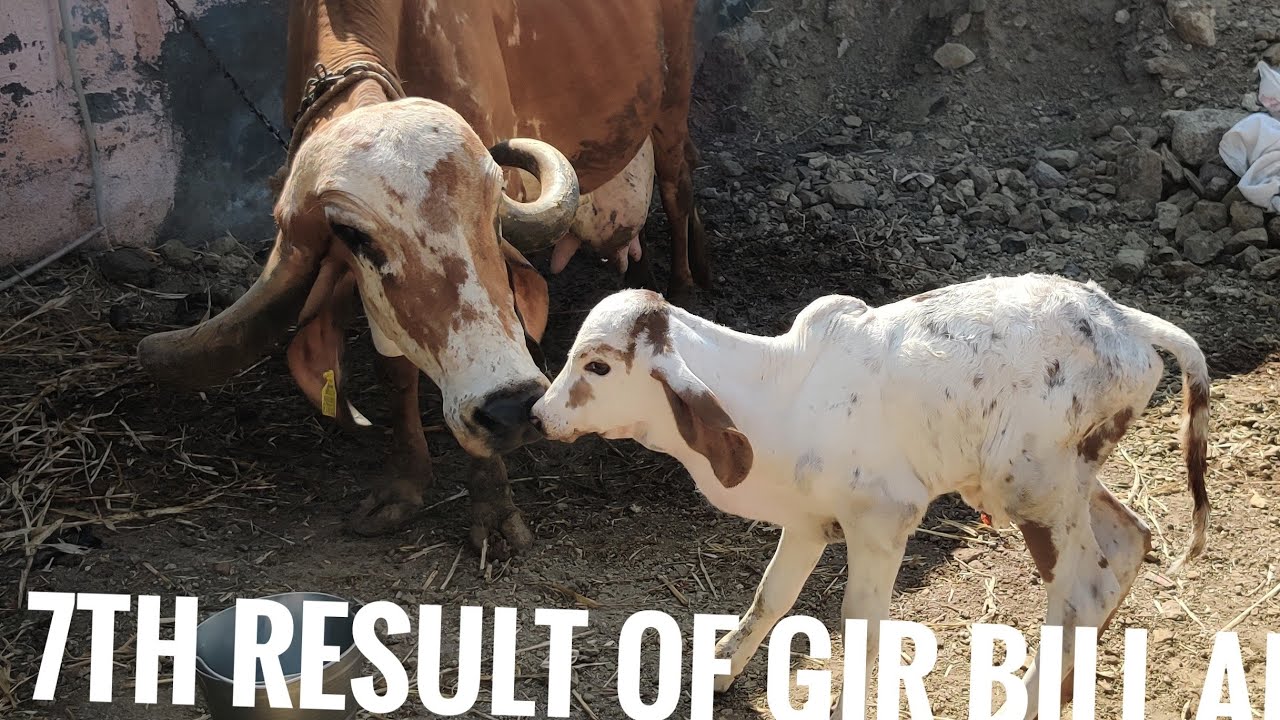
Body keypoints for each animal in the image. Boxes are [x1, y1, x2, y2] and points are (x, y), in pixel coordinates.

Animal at [137, 0, 711, 557]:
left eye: (493, 210)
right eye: (353, 235)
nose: (510, 407)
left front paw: (494, 511)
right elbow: (395, 367)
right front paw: (404, 483)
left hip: (673, 99)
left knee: (678, 185)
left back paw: (685, 288)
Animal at [531, 274, 1211, 718]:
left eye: (597, 366)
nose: (539, 416)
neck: (780, 396)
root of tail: (1123, 319)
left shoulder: (883, 524)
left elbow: (861, 627)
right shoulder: (807, 521)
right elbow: (771, 596)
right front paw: (718, 672)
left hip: (1034, 490)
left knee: (1084, 585)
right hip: (1063, 480)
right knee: (1128, 541)